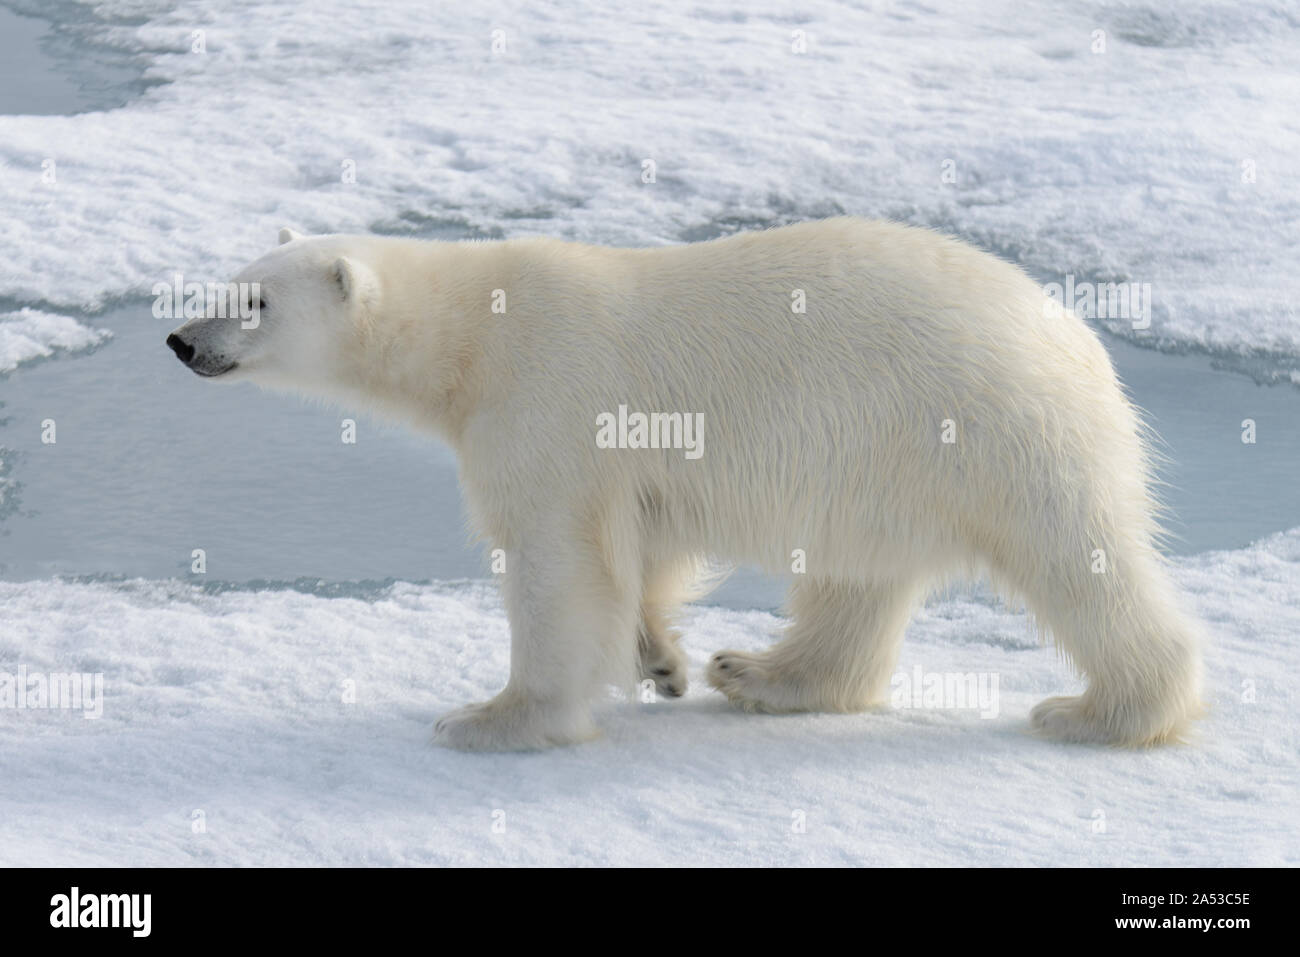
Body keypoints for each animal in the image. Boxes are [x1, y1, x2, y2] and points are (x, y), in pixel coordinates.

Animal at [166, 218, 1203, 751]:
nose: (180, 339)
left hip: (987, 427)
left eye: (255, 300)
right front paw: (660, 658)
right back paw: (762, 674)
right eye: (228, 280)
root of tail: (1079, 336)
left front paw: (494, 717)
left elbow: (558, 560)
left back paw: (1105, 712)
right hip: (888, 459)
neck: (476, 334)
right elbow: (644, 546)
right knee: (858, 579)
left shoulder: (549, 396)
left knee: (1077, 559)